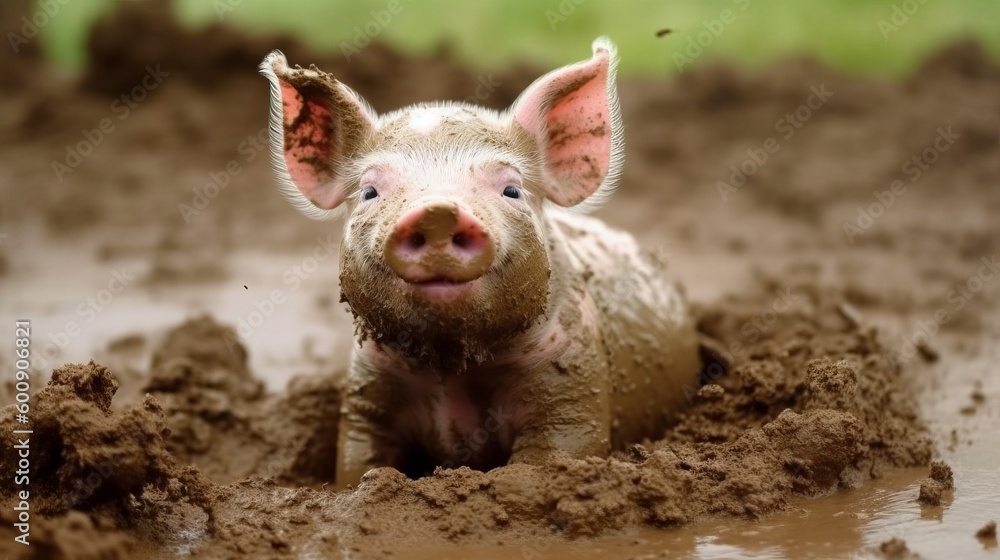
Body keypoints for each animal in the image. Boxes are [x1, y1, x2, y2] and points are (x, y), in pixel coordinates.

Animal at [259, 37, 702, 488]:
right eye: (369, 192)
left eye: (511, 190)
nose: (437, 212)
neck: (453, 370)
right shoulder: (368, 391)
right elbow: (359, 462)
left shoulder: (573, 382)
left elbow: (552, 455)